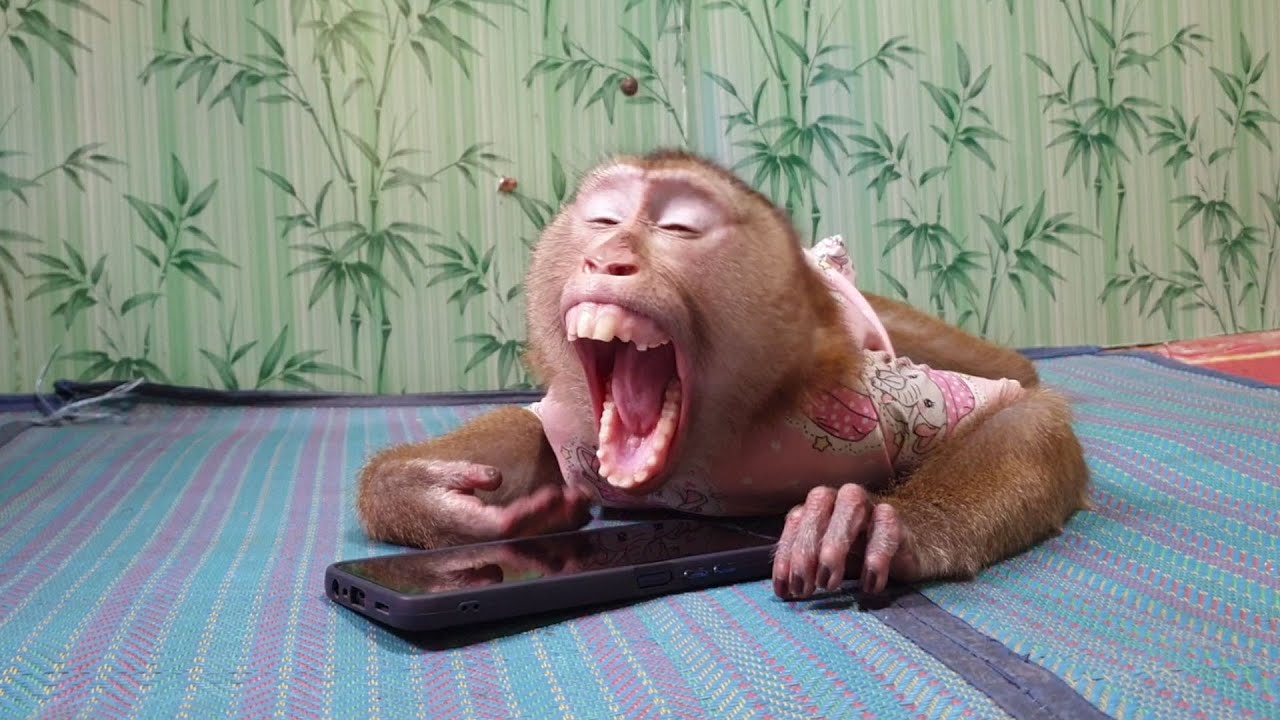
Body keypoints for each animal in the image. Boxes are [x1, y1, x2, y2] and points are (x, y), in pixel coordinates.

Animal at [357, 149, 1090, 601]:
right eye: (603, 219)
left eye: (680, 228)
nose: (609, 258)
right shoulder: (576, 424)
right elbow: (534, 432)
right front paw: (436, 503)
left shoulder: (870, 405)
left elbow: (1022, 407)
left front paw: (892, 525)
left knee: (1015, 374)